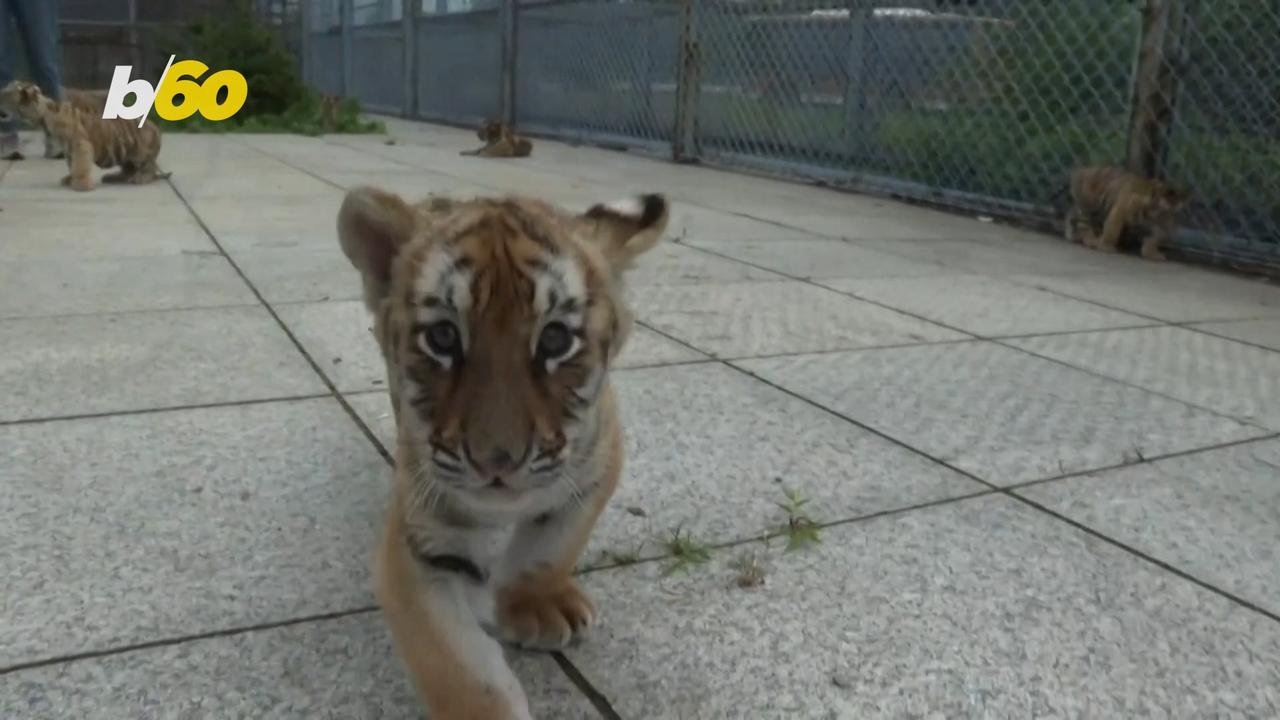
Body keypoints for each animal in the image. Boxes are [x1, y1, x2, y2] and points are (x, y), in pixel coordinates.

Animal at [0, 80, 169, 191]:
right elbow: (72, 165)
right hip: (125, 157)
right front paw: (70, 179)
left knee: (150, 169)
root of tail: (156, 128)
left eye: (4, 95)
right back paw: (112, 177)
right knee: (127, 170)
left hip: (139, 153)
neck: (43, 116)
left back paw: (140, 178)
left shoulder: (80, 144)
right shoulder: (68, 148)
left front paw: (81, 183)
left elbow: (80, 165)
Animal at [336, 184, 669, 719]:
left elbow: (551, 547)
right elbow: (463, 673)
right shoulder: (418, 546)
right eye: (443, 336)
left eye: (555, 338)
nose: (497, 460)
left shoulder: (599, 464)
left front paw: (535, 606)